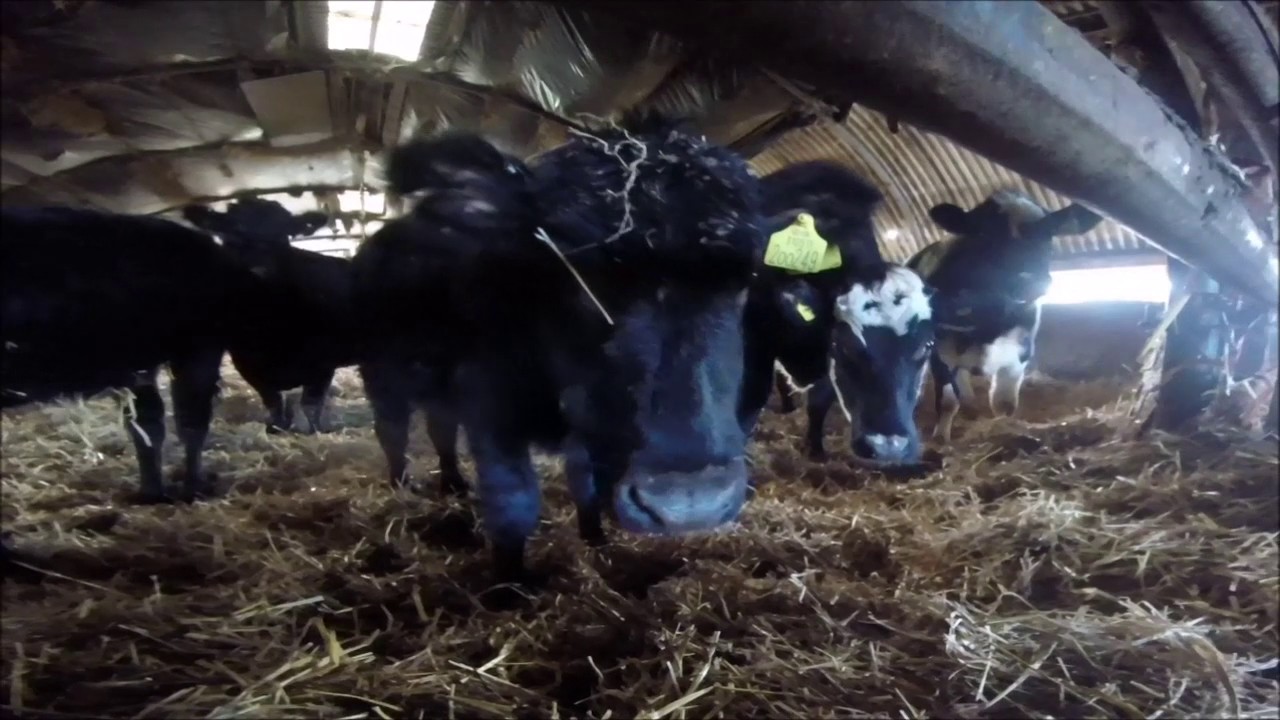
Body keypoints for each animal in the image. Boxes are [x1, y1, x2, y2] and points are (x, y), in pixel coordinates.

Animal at [180, 198, 353, 436]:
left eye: (284, 233)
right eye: (233, 231)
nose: (260, 271)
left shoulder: (324, 363)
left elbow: (311, 404)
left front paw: (312, 429)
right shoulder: (247, 362)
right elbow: (272, 400)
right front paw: (276, 426)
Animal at [352, 113, 773, 583]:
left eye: (748, 278)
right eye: (577, 276)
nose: (689, 505)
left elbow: (583, 480)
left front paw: (595, 538)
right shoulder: (491, 411)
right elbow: (513, 503)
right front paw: (510, 582)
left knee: (439, 427)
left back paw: (454, 484)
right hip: (382, 374)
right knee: (392, 430)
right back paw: (401, 485)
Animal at [738, 161, 936, 466]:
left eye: (927, 346)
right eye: (844, 346)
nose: (888, 447)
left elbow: (819, 401)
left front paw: (815, 450)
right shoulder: (755, 336)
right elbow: (751, 398)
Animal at [909, 190, 1103, 442]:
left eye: (1049, 233)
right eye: (983, 233)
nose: (1028, 280)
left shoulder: (1019, 352)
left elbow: (1004, 405)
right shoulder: (941, 353)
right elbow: (948, 402)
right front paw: (941, 439)